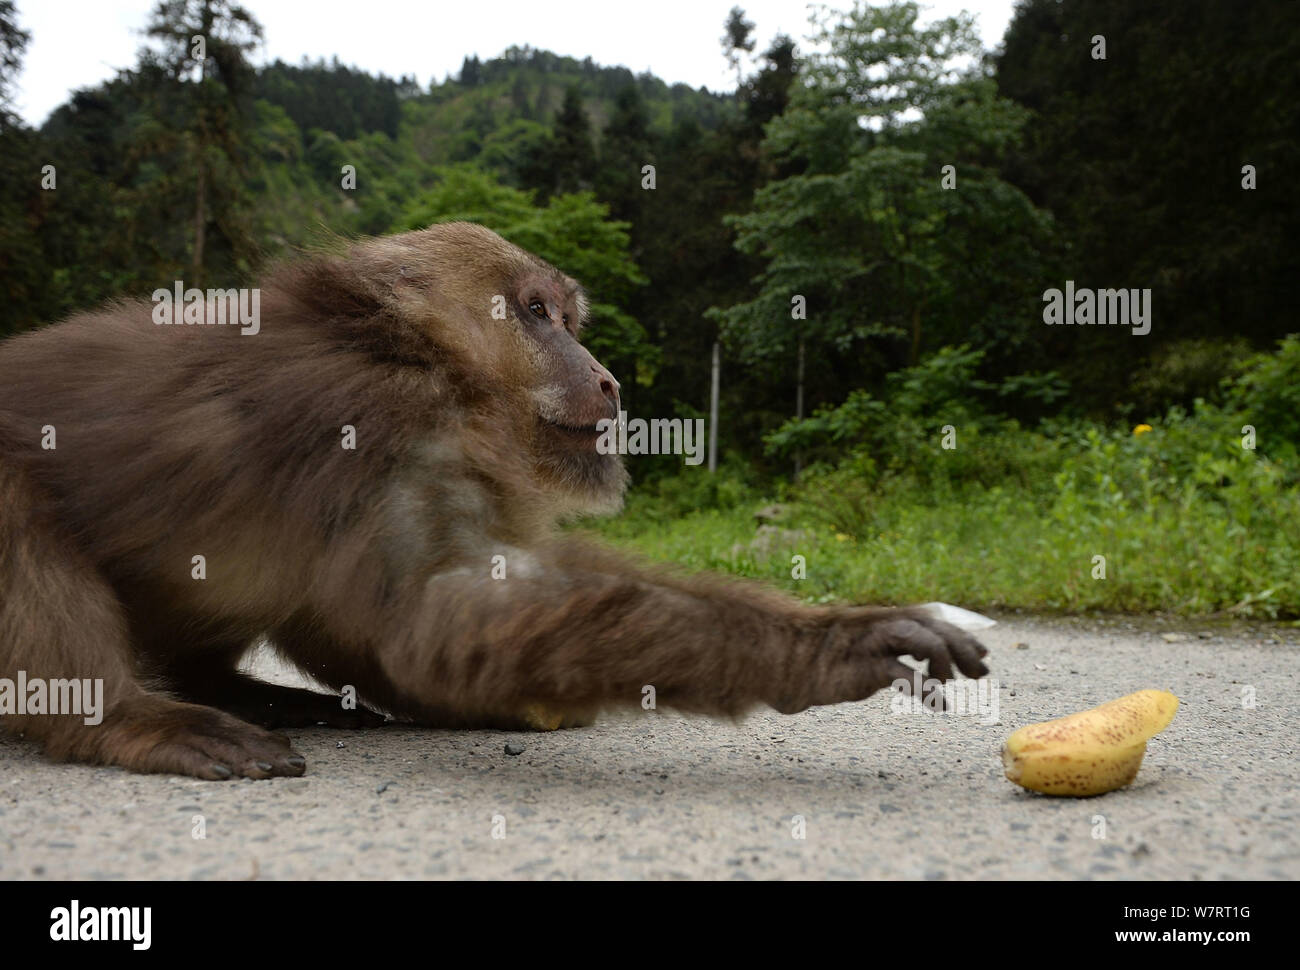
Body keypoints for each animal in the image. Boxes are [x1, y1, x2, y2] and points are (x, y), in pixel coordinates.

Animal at [0, 222, 988, 779]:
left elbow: (376, 626)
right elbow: (432, 615)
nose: (609, 380)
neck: (421, 360)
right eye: (539, 314)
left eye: (569, 319)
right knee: (22, 525)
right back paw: (122, 720)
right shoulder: (375, 422)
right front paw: (829, 645)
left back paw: (230, 687)